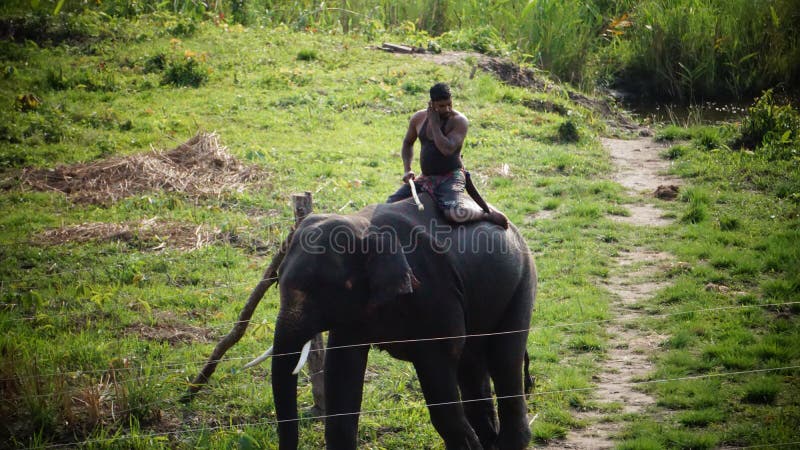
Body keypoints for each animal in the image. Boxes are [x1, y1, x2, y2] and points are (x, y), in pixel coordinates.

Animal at [258, 193, 536, 449]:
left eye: (323, 289)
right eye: (277, 279)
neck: (364, 227)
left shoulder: (435, 292)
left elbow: (438, 368)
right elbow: (342, 370)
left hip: (522, 280)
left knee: (504, 357)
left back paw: (509, 444)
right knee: (472, 363)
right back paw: (490, 441)